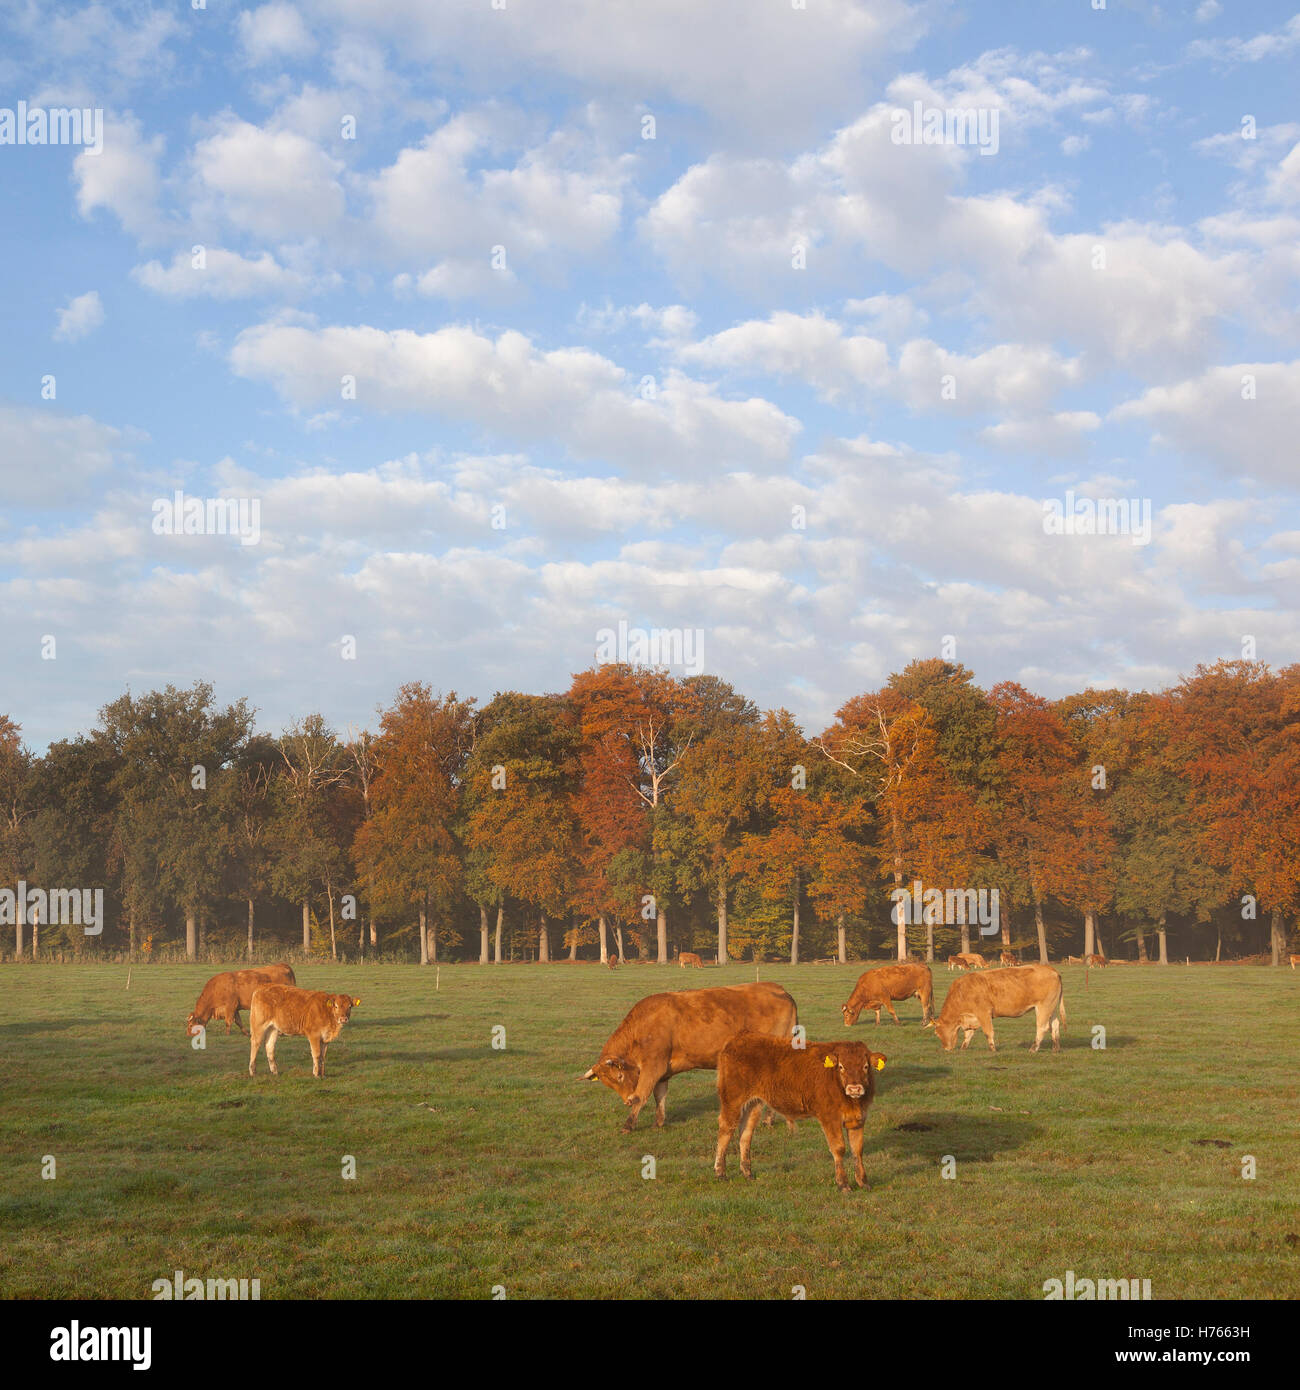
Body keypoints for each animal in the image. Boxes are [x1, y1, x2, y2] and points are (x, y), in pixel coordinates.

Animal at [579, 982, 798, 1132]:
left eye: (620, 1076)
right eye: (609, 1084)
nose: (625, 1101)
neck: (642, 1026)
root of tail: (780, 990)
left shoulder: (653, 1066)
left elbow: (641, 1095)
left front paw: (628, 1125)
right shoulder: (663, 1072)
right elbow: (660, 1096)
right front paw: (659, 1122)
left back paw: (768, 1119)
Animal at [714, 1033, 886, 1191]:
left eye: (865, 1066)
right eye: (841, 1067)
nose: (854, 1088)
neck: (852, 1102)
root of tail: (739, 1038)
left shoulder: (858, 1120)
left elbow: (857, 1150)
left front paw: (863, 1182)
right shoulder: (830, 1118)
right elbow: (839, 1148)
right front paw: (843, 1184)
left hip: (753, 1104)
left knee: (746, 1133)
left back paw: (747, 1173)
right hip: (732, 1100)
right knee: (726, 1130)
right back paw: (720, 1173)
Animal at [926, 963, 1065, 1054]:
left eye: (936, 1033)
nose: (946, 1049)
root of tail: (1051, 969)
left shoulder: (983, 1013)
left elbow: (988, 1032)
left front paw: (993, 1049)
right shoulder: (971, 1017)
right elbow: (968, 1034)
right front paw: (963, 1048)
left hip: (1044, 1006)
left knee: (1042, 1027)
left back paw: (1033, 1048)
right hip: (1051, 1007)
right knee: (1055, 1025)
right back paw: (1056, 1048)